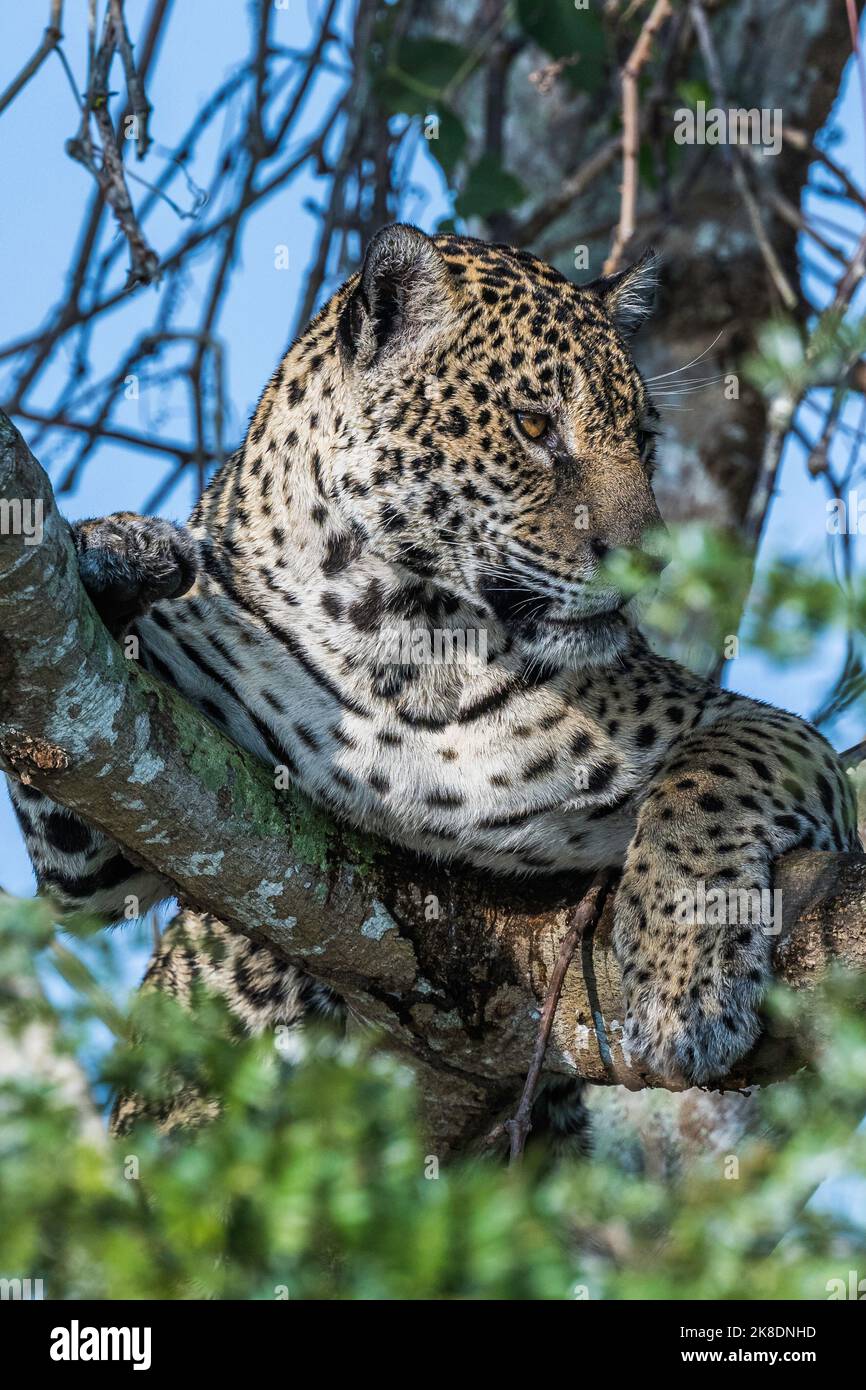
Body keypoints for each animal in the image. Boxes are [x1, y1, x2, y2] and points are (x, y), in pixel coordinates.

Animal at [6, 224, 859, 1142]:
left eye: (643, 440)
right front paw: (118, 549)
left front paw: (683, 986)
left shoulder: (759, 729)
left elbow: (707, 783)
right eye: (534, 424)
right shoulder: (108, 824)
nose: (651, 562)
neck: (400, 641)